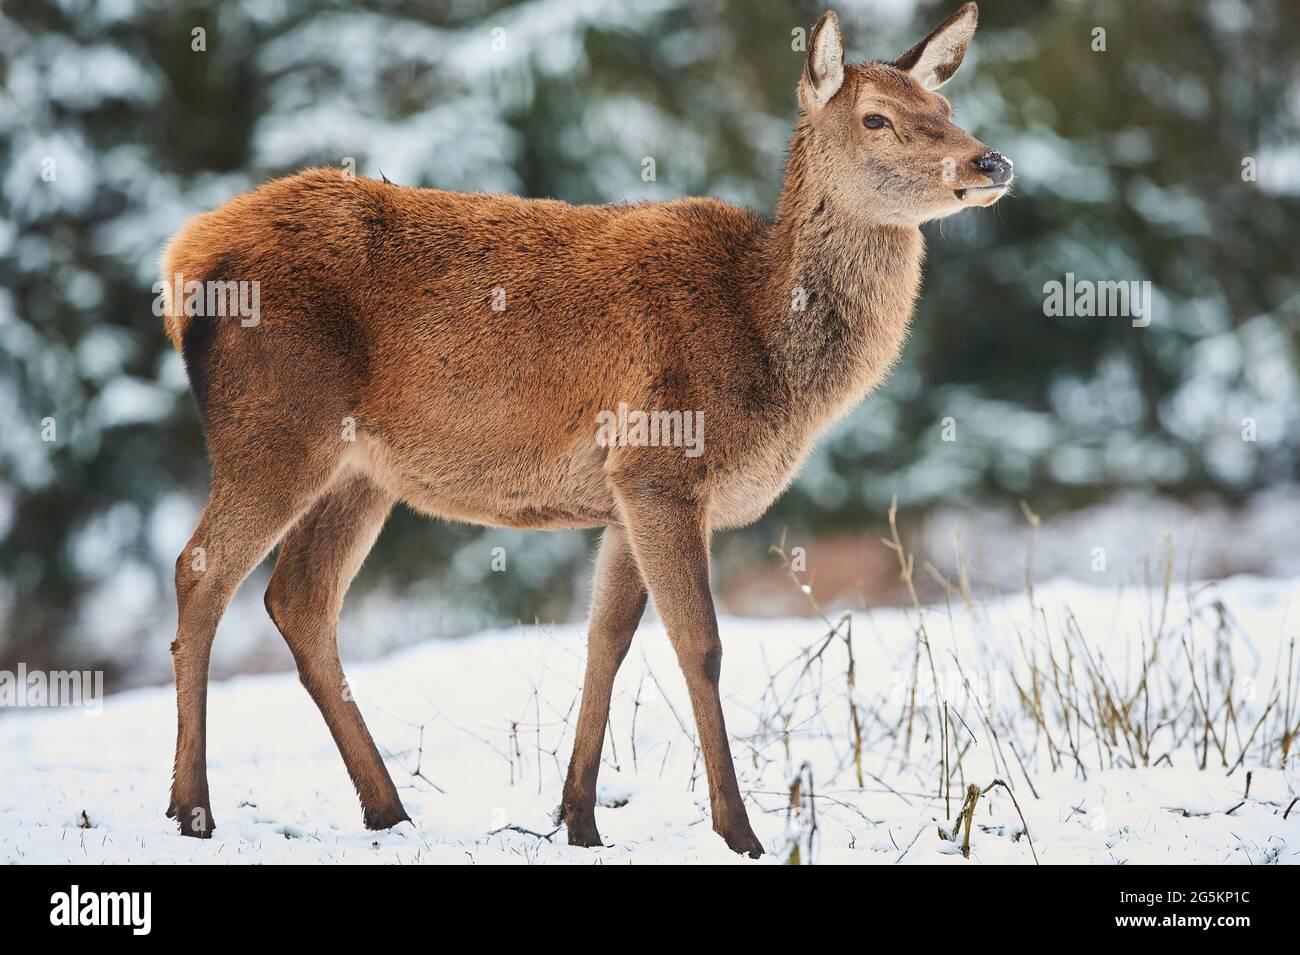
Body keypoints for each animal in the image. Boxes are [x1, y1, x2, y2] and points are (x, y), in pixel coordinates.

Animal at [160, 3, 1011, 857]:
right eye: (877, 118)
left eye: (944, 105)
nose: (991, 161)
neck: (767, 342)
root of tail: (184, 262)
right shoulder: (663, 464)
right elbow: (700, 644)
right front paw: (740, 831)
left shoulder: (622, 491)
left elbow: (608, 640)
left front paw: (577, 817)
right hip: (276, 425)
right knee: (201, 569)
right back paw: (193, 806)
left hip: (361, 472)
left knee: (299, 597)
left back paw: (387, 807)